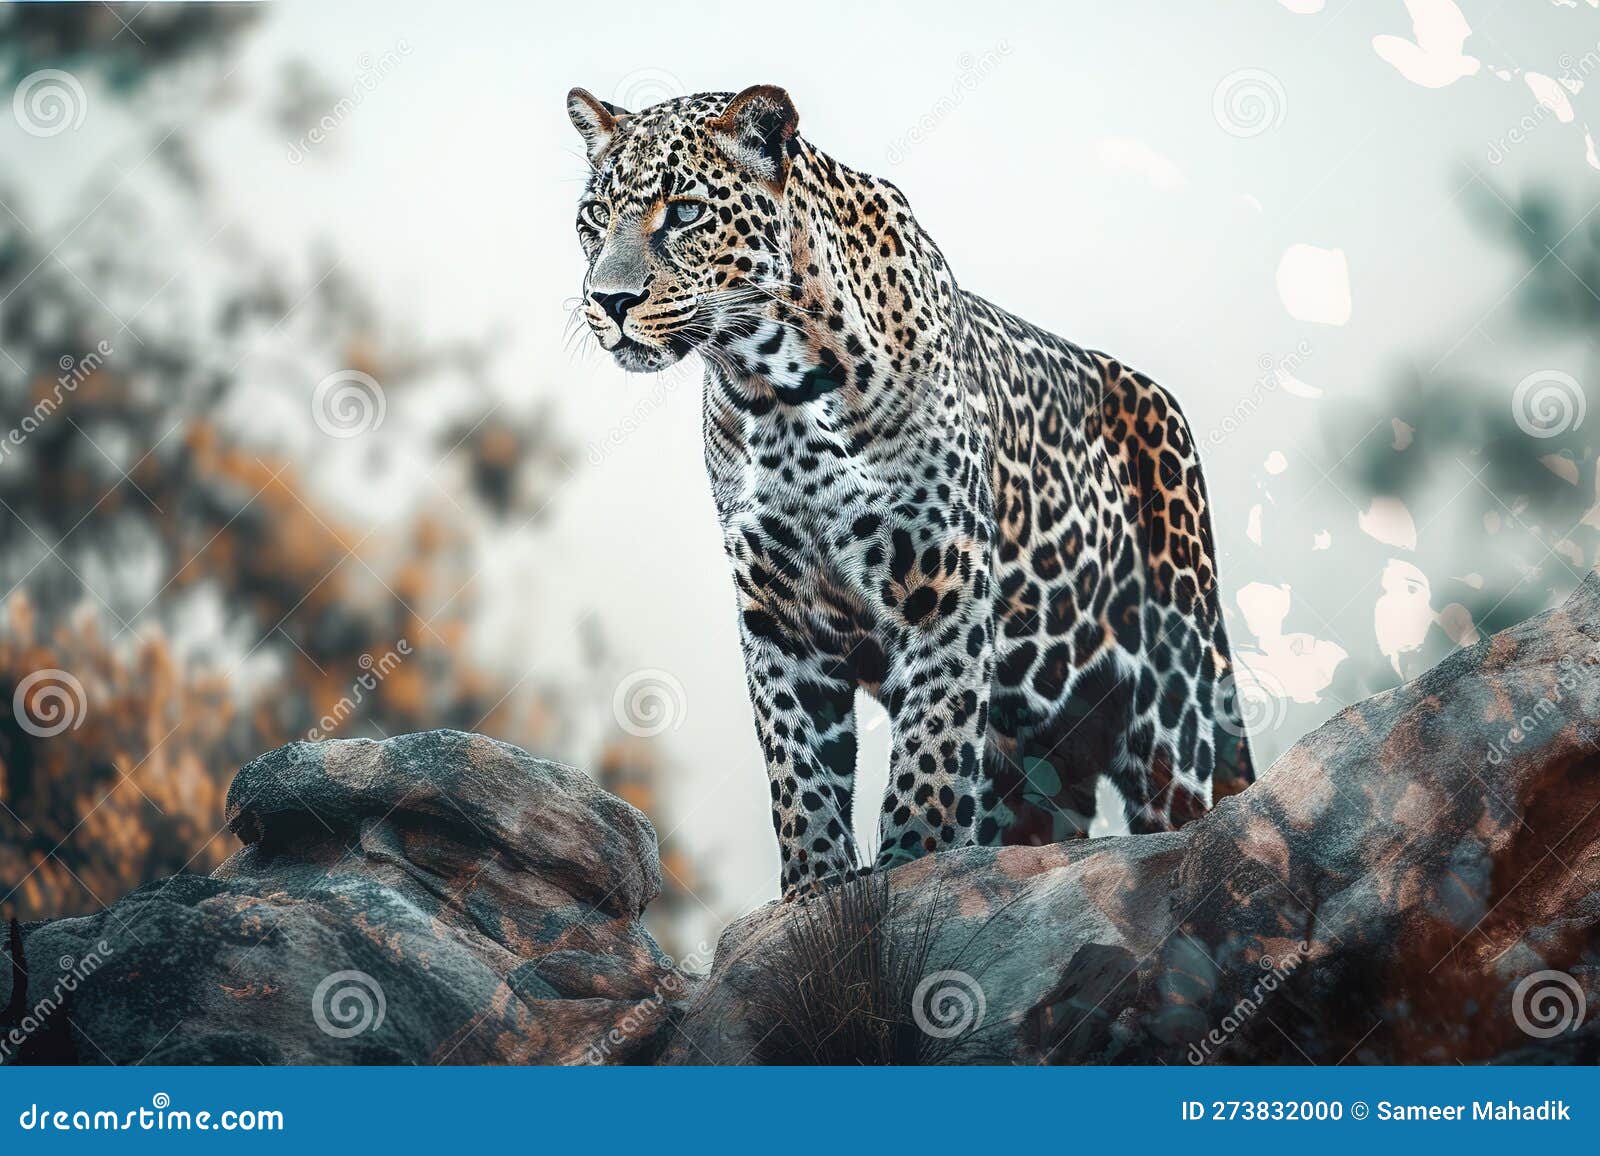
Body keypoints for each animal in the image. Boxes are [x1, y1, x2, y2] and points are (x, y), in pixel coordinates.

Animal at [566, 83, 1256, 898]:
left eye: (685, 212)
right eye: (593, 217)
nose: (607, 301)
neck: (776, 391)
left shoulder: (944, 579)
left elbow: (930, 741)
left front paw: (911, 863)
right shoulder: (777, 610)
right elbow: (796, 761)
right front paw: (816, 884)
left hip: (1173, 699)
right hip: (1038, 758)